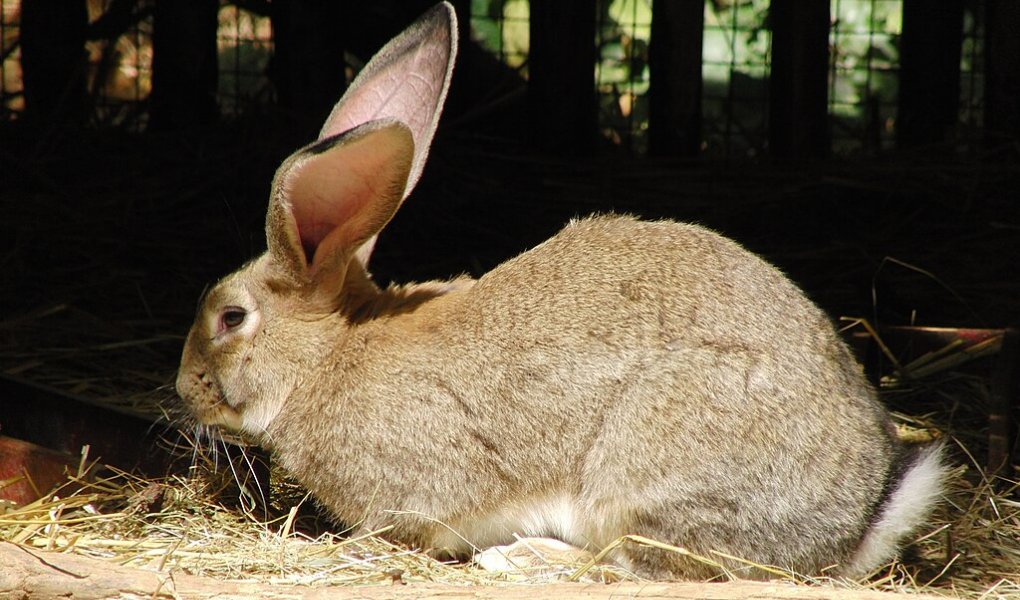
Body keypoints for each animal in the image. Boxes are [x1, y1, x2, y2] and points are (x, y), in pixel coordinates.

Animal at [176, 2, 946, 580]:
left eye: (231, 317)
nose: (184, 389)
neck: (326, 357)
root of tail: (858, 522)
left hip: (649, 466)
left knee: (649, 566)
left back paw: (524, 558)